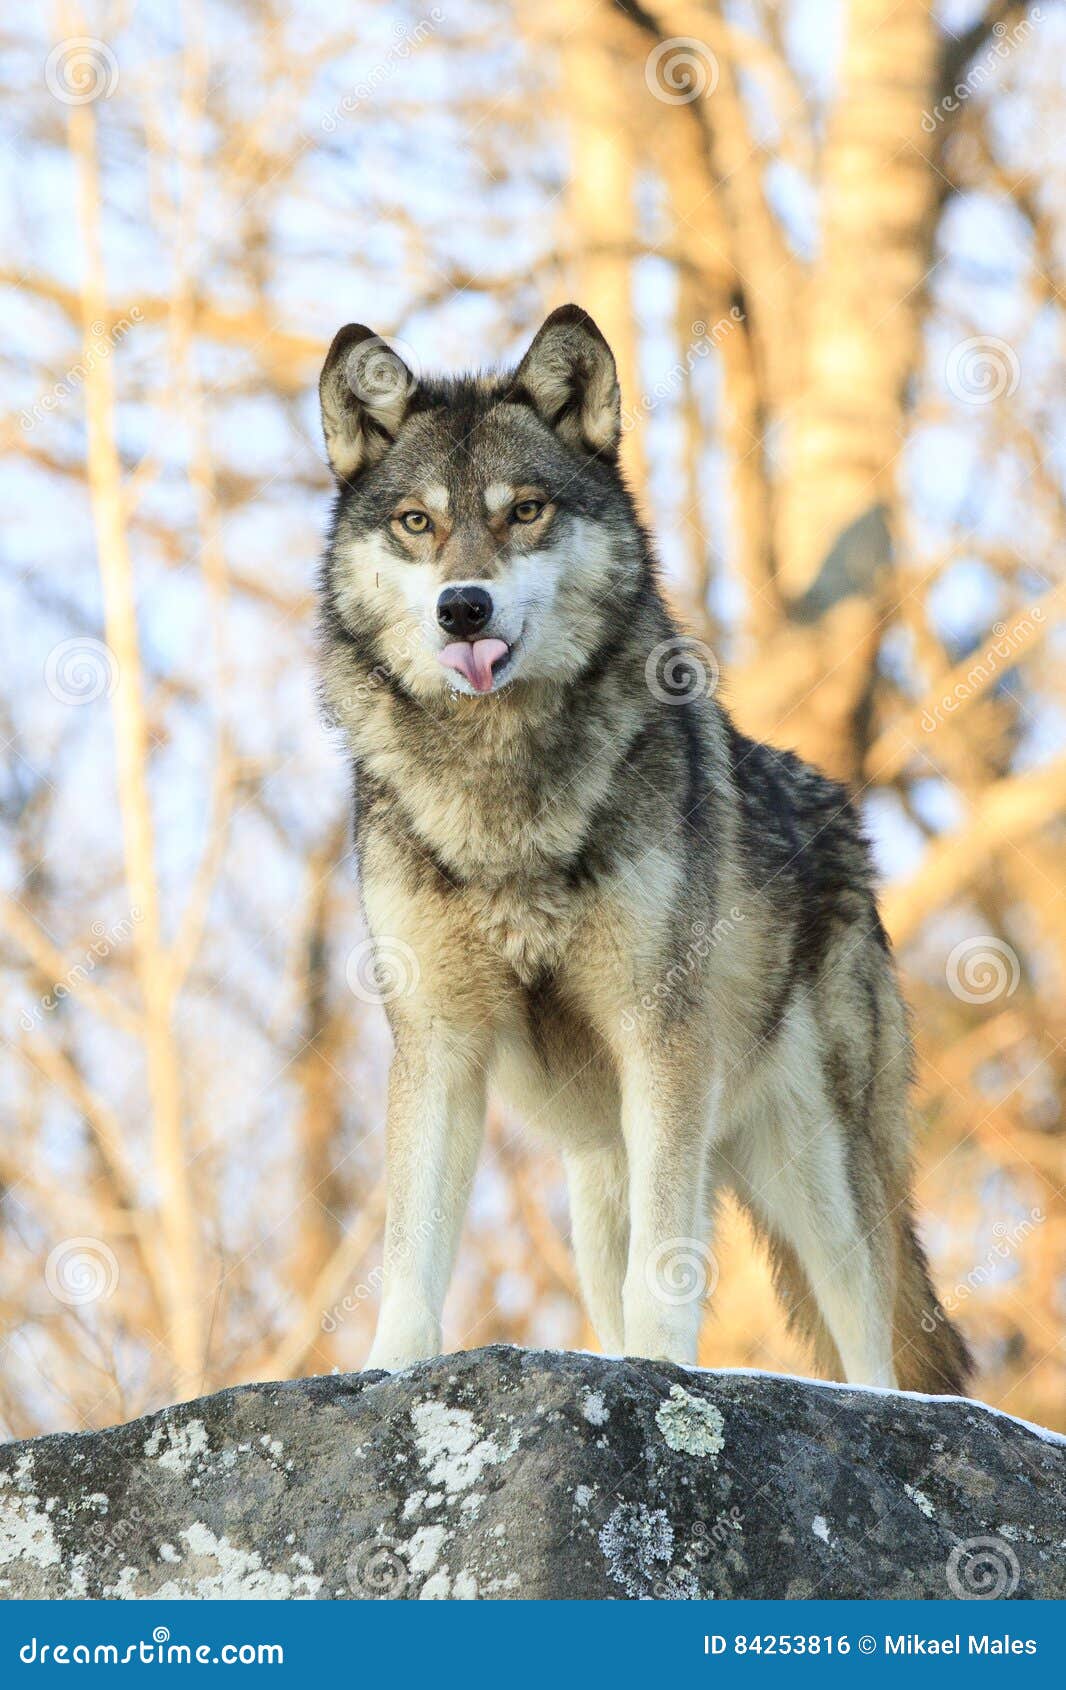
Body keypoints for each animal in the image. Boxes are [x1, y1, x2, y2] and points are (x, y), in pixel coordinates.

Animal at [316, 304, 971, 1393]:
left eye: (525, 510)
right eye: (416, 522)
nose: (463, 606)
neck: (503, 791)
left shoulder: (659, 1037)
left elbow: (668, 1273)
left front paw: (663, 1371)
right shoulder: (438, 1042)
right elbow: (412, 1248)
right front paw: (390, 1369)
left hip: (813, 1164)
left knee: (869, 1340)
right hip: (601, 1179)